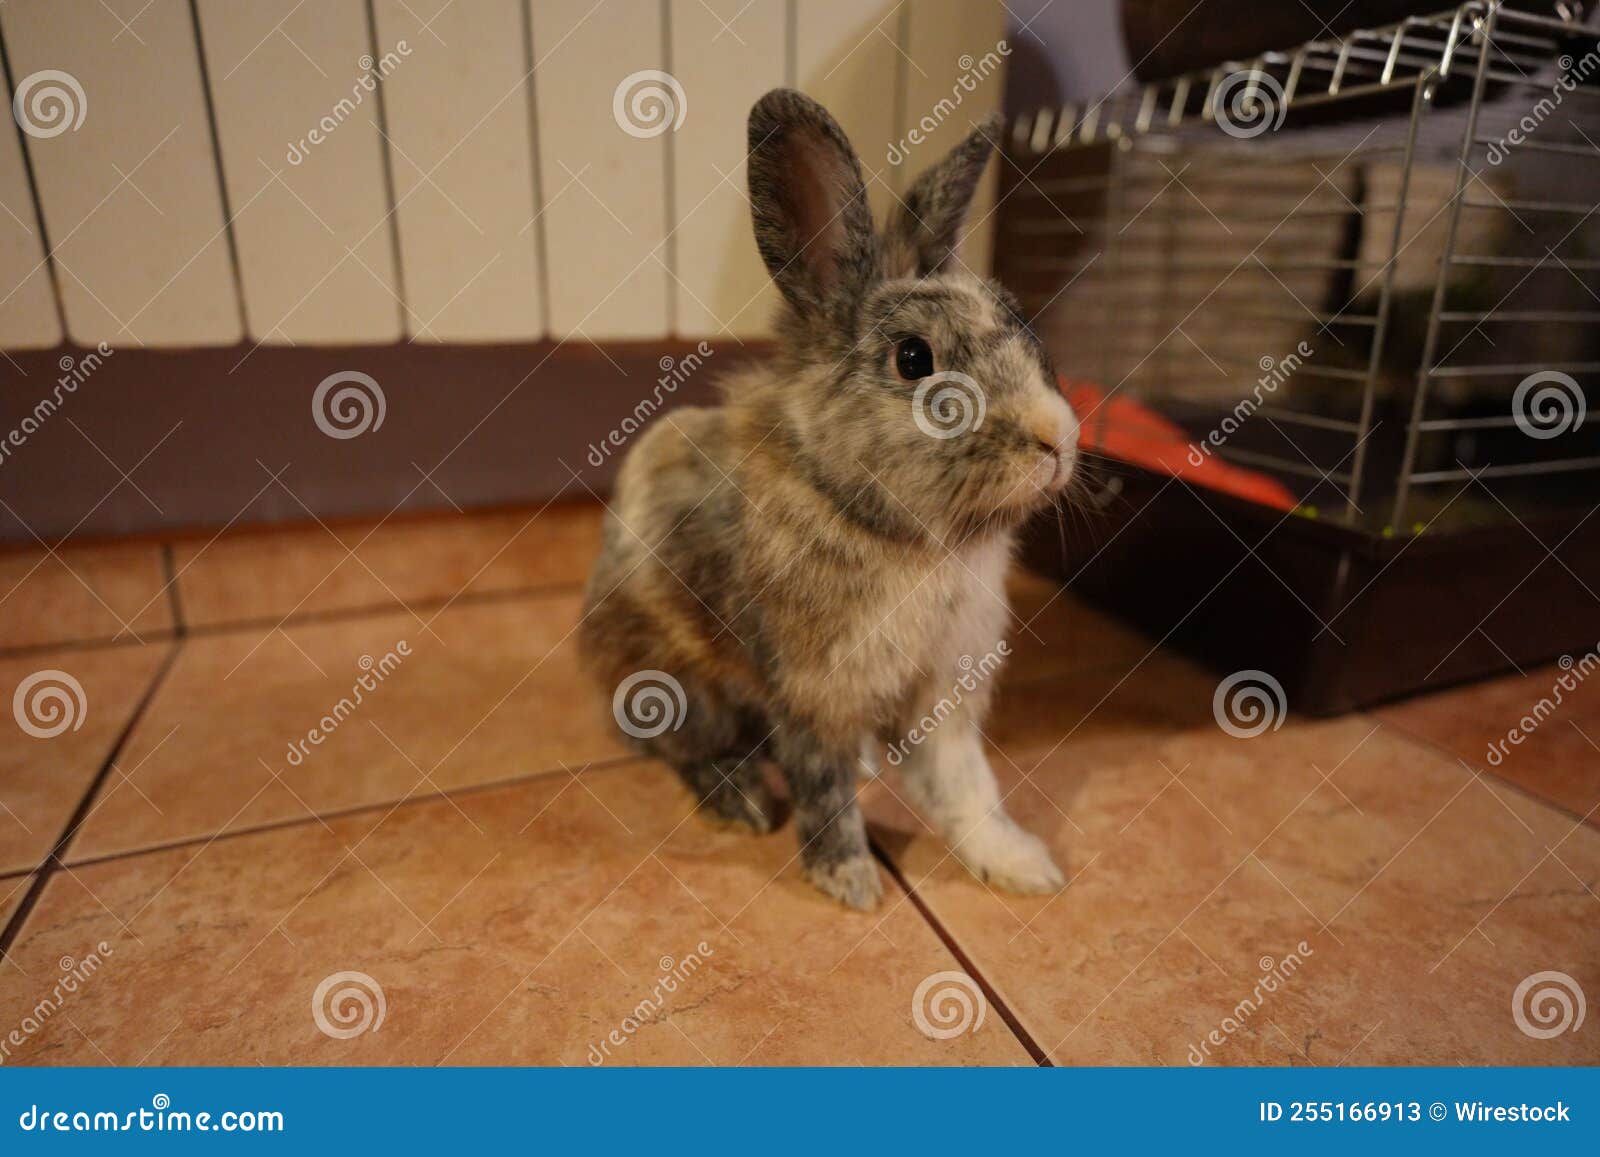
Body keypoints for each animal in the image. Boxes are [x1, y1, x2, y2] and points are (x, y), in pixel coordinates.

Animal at [580, 89, 1080, 910]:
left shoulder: (944, 693)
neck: (905, 536)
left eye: (1023, 326)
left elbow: (968, 787)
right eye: (913, 359)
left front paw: (1022, 866)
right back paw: (741, 800)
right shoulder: (814, 692)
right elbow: (823, 788)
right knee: (673, 744)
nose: (1058, 440)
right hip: (674, 681)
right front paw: (851, 882)